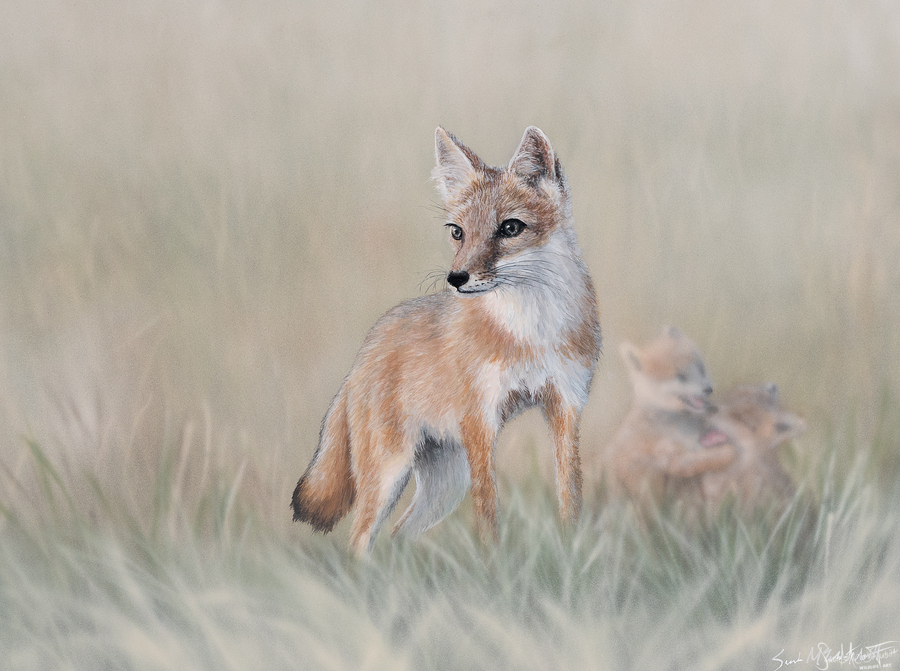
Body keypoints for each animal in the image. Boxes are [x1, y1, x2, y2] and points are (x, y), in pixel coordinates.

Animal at [291, 126, 602, 556]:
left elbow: (570, 497)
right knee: (360, 540)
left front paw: (571, 555)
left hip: (445, 486)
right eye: (457, 233)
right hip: (390, 474)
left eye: (510, 228)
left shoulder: (566, 407)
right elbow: (488, 513)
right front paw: (495, 567)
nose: (456, 279)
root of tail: (363, 352)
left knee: (397, 534)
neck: (528, 334)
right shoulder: (480, 420)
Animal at [601, 326, 736, 513]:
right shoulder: (674, 457)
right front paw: (727, 452)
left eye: (701, 369)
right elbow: (702, 460)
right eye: (680, 377)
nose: (708, 389)